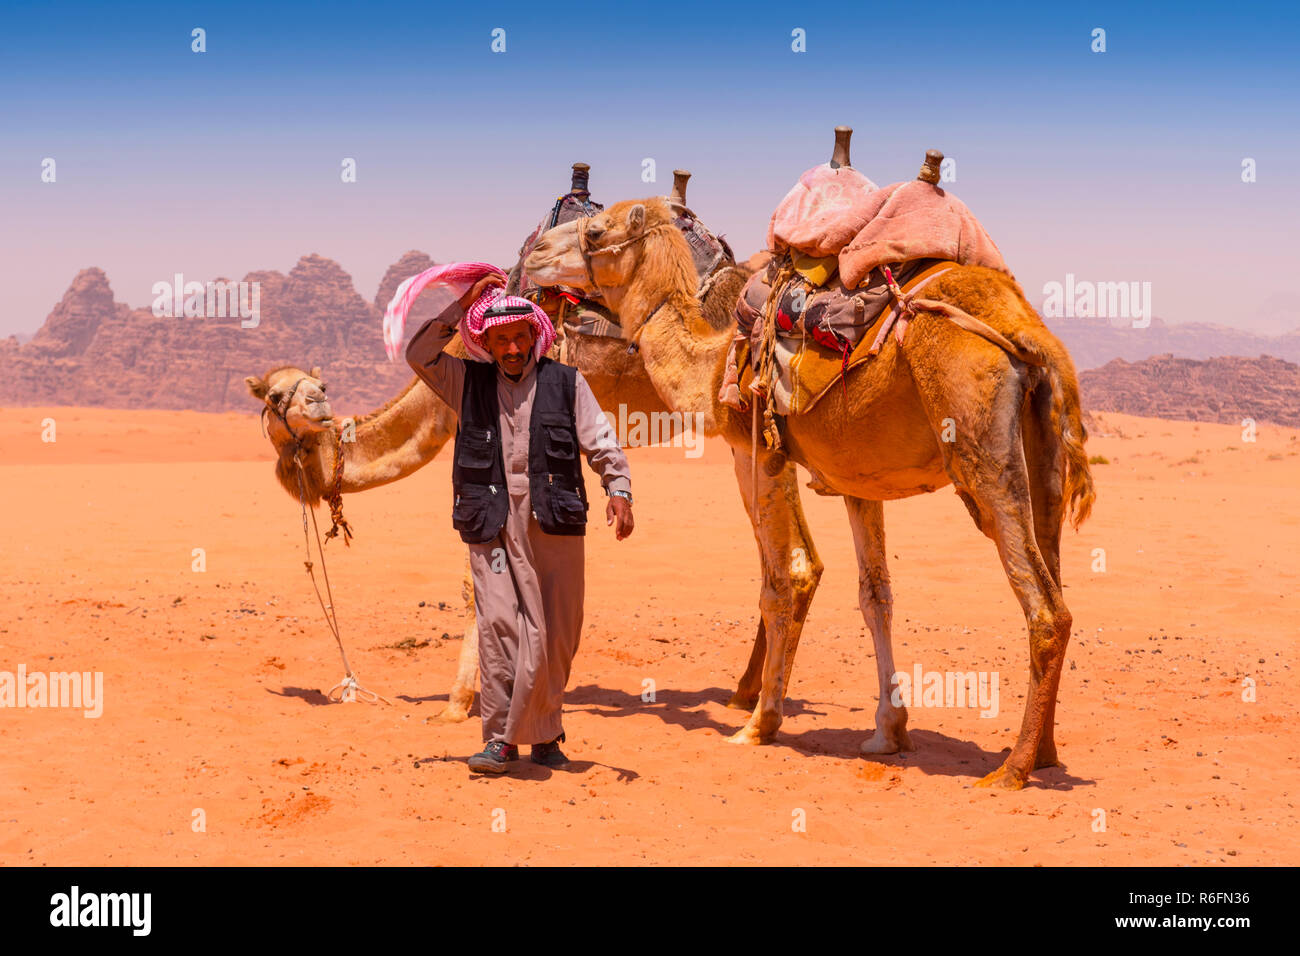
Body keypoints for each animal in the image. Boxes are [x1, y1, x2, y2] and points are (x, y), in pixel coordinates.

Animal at [523, 180, 1096, 789]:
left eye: (595, 230)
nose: (536, 254)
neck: (710, 361)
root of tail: (1027, 332)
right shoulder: (859, 479)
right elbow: (875, 594)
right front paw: (888, 731)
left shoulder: (760, 450)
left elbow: (789, 577)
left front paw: (758, 723)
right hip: (1043, 454)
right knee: (1055, 574)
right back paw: (1046, 752)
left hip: (979, 450)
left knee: (1045, 607)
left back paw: (1012, 769)